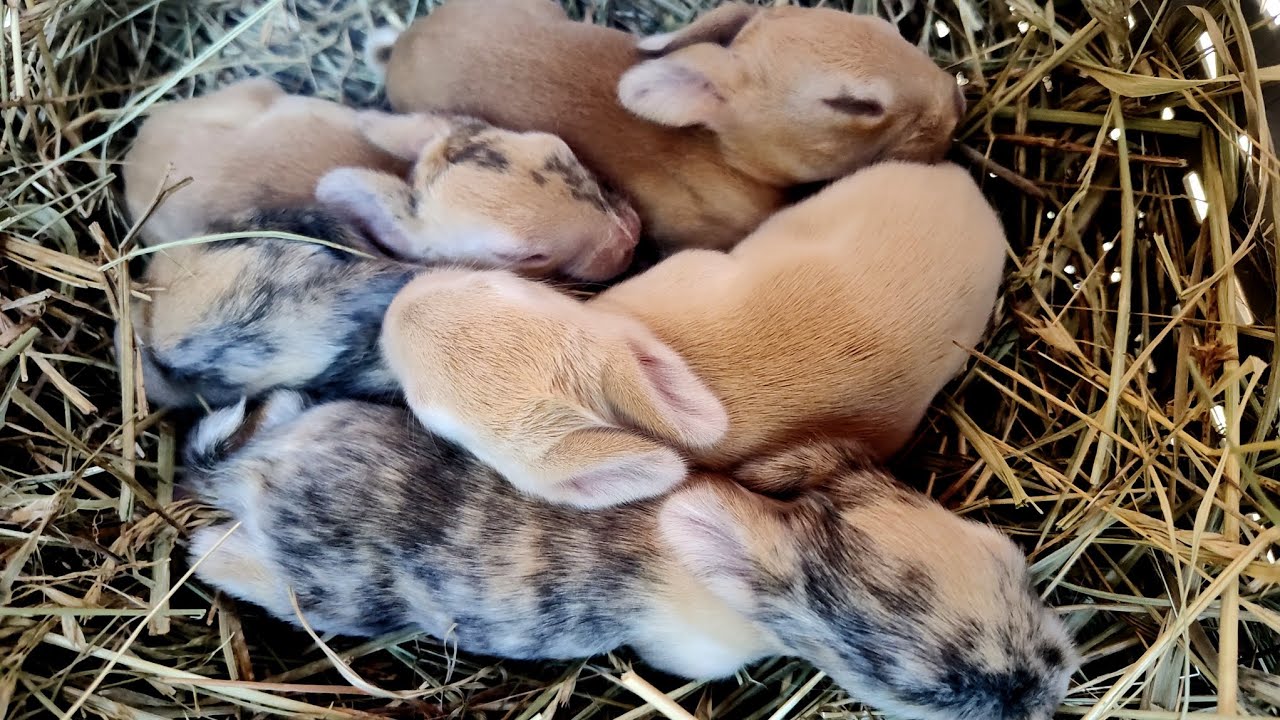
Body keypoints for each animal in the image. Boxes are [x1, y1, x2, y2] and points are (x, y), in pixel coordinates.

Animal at [184, 392, 1076, 720]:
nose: (1057, 687)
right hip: (323, 591)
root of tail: (258, 473)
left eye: (1008, 558)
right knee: (214, 554)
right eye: (938, 688)